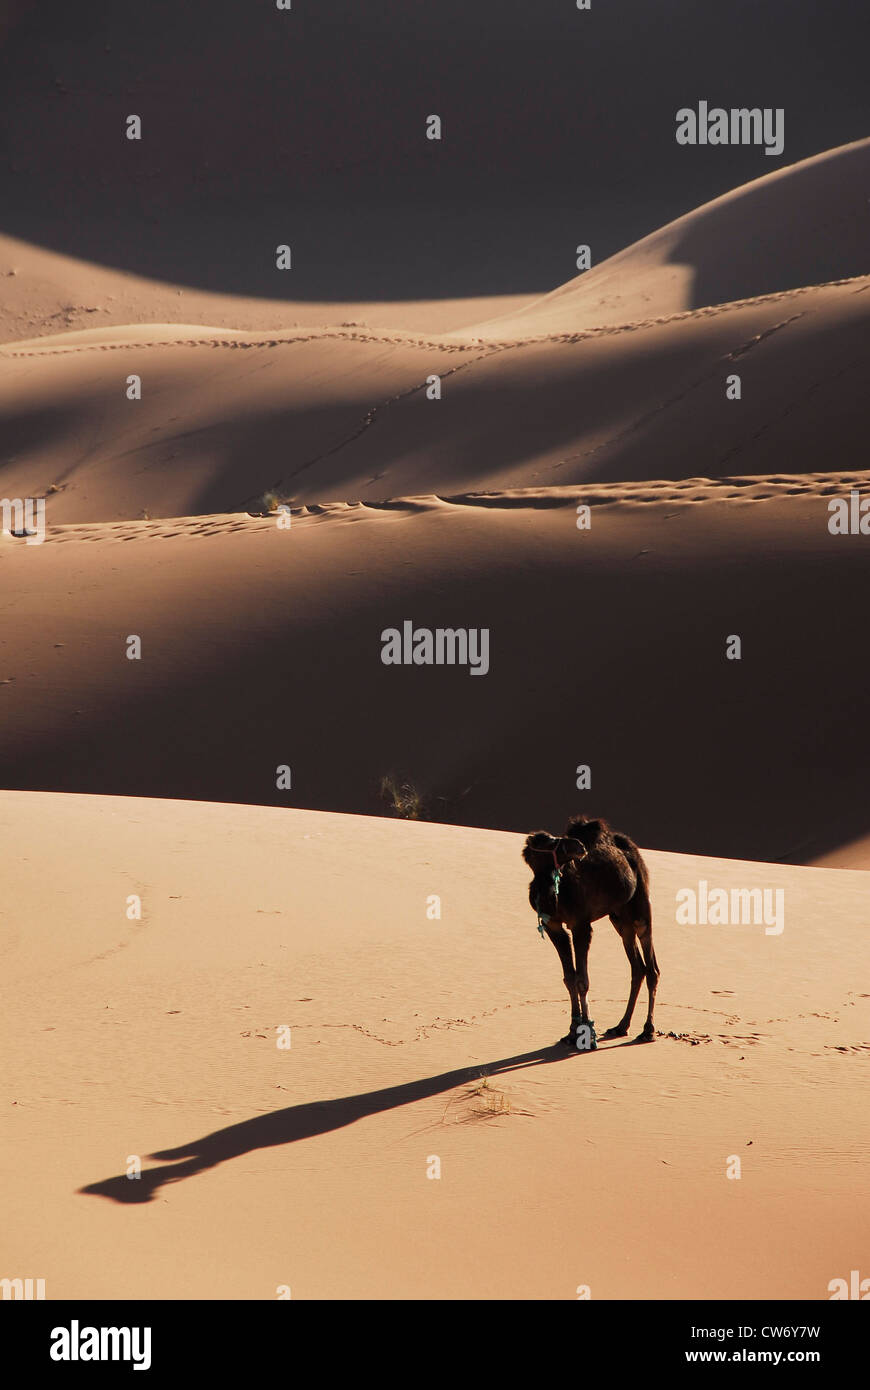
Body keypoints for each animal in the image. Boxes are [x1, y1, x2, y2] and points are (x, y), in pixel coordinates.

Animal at [522, 816, 659, 1048]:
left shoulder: (581, 924)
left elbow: (582, 980)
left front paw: (587, 1035)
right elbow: (569, 978)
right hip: (619, 917)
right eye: (548, 841)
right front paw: (572, 1032)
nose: (579, 846)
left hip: (640, 903)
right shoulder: (553, 926)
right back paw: (621, 1026)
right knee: (637, 967)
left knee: (651, 968)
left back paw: (647, 1030)